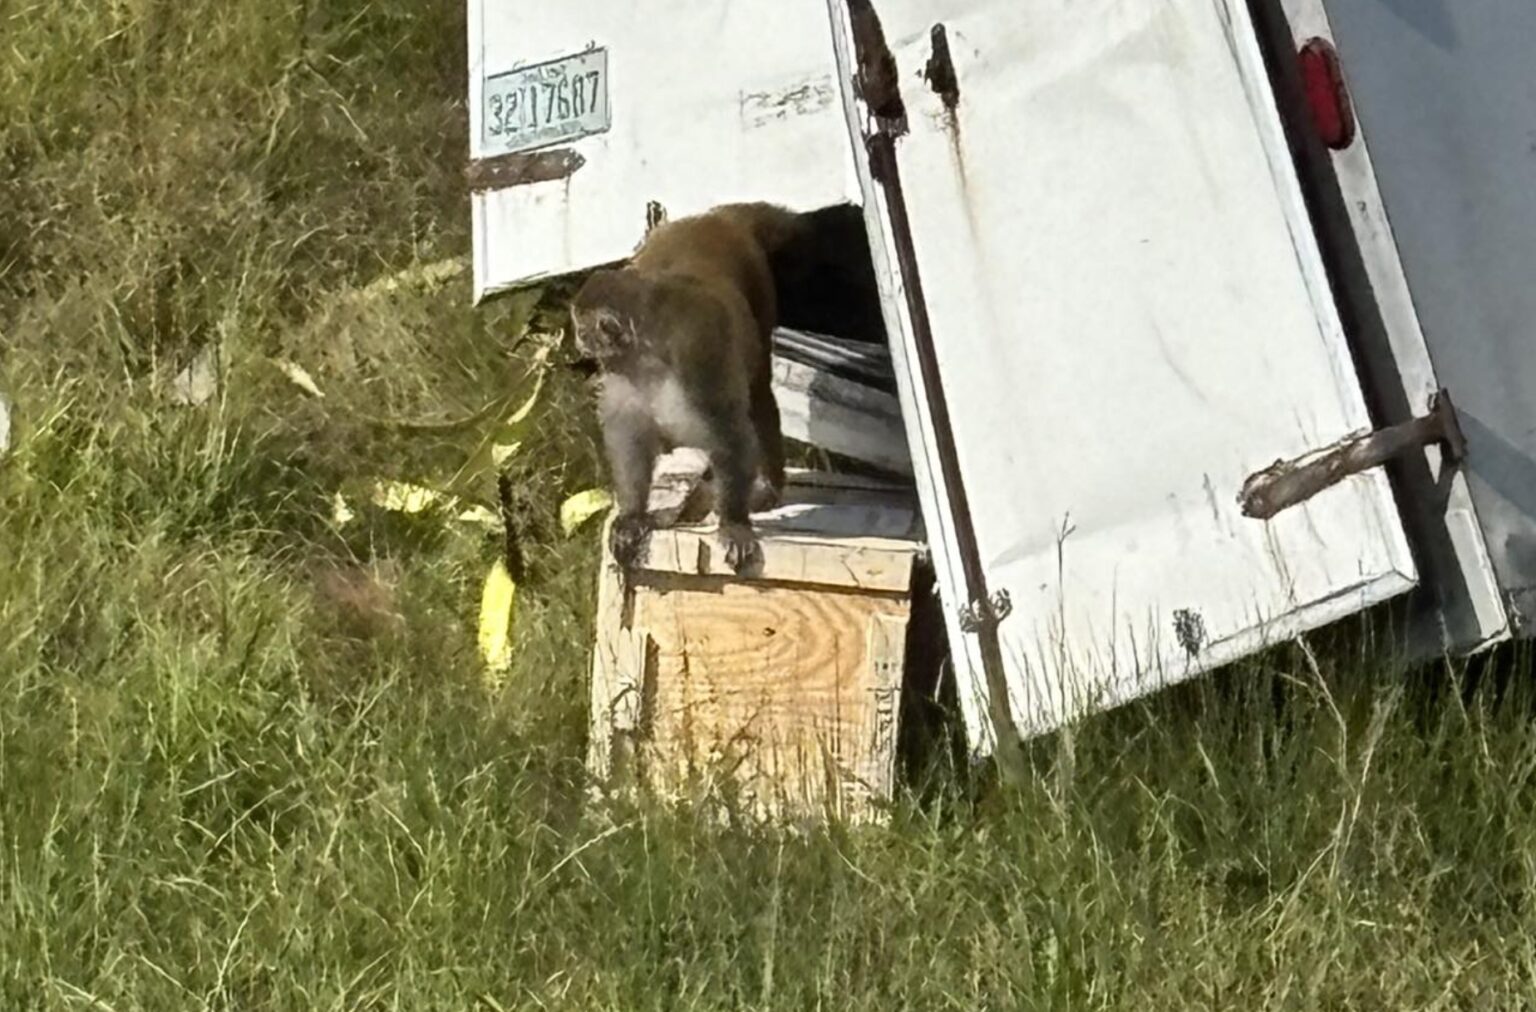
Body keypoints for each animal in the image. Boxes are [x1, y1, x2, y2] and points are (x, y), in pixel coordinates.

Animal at [569, 202, 805, 574]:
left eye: (582, 329)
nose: (578, 341)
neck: (647, 354)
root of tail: (713, 218)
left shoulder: (697, 355)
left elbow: (729, 432)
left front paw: (734, 523)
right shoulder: (622, 373)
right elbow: (630, 436)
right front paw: (633, 515)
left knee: (758, 394)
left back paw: (769, 486)